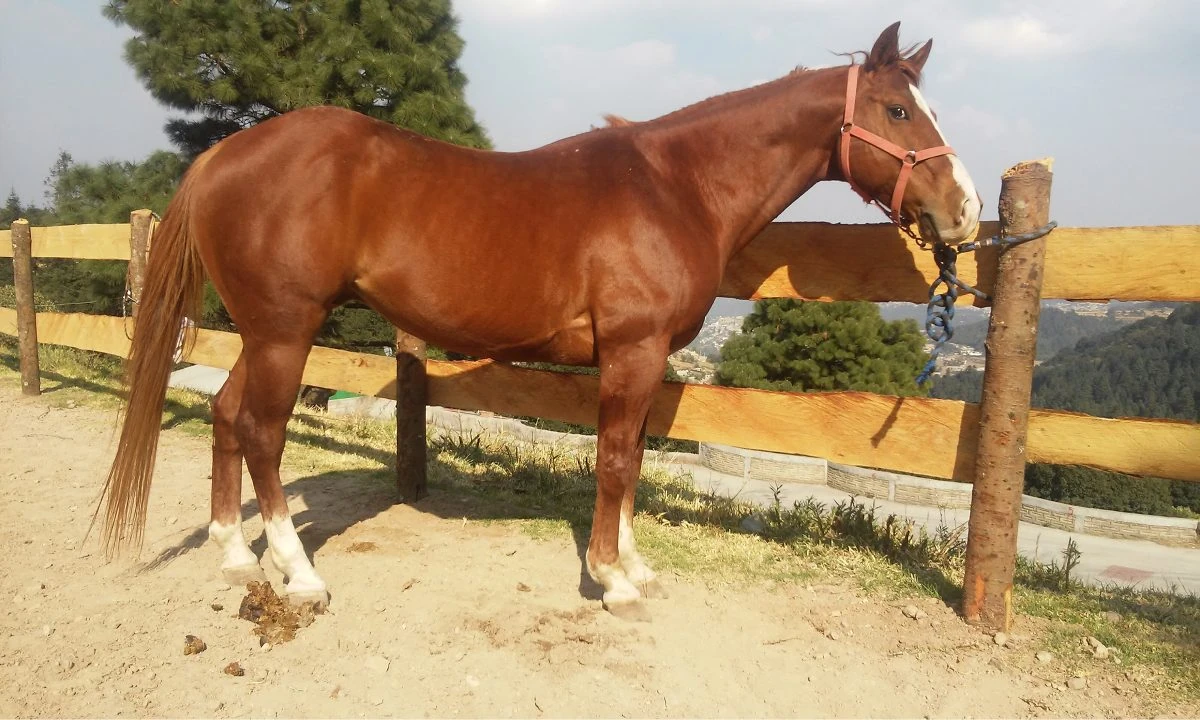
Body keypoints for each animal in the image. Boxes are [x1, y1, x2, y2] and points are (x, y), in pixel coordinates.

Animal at [98, 21, 981, 619]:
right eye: (898, 110)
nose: (965, 212)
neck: (675, 186)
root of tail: (225, 155)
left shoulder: (649, 361)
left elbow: (633, 461)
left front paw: (633, 565)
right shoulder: (631, 352)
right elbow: (616, 461)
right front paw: (614, 581)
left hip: (265, 331)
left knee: (225, 416)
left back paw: (235, 555)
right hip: (286, 330)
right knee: (261, 432)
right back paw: (300, 574)